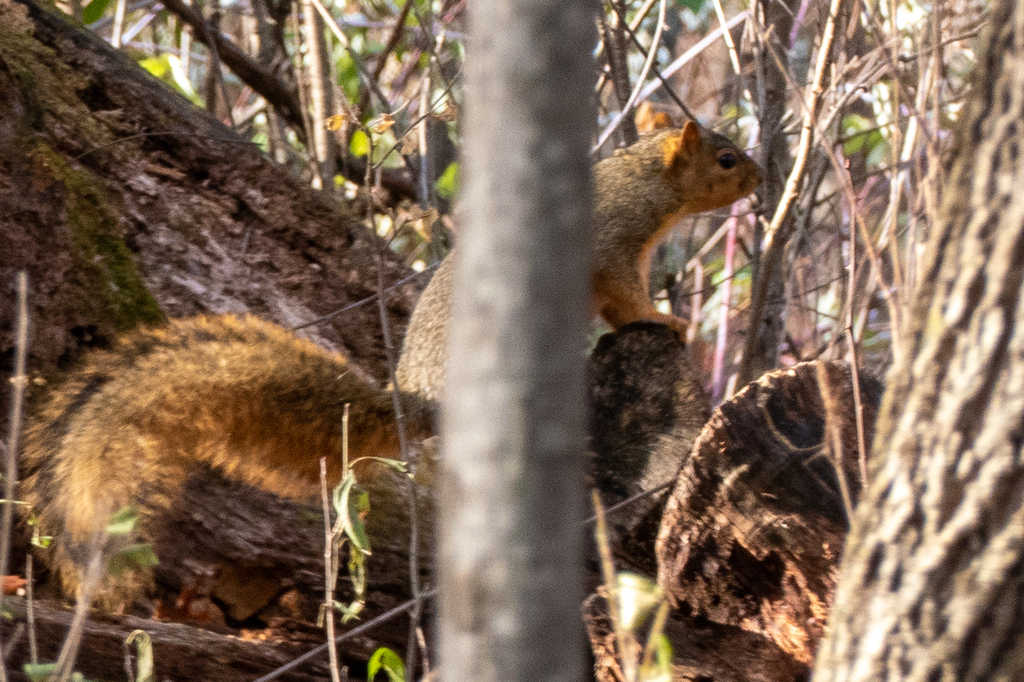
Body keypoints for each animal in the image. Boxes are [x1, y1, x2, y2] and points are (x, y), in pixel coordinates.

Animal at [21, 121, 760, 604]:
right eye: (726, 158)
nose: (759, 175)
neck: (643, 177)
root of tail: (420, 406)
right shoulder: (611, 247)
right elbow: (623, 299)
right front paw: (667, 319)